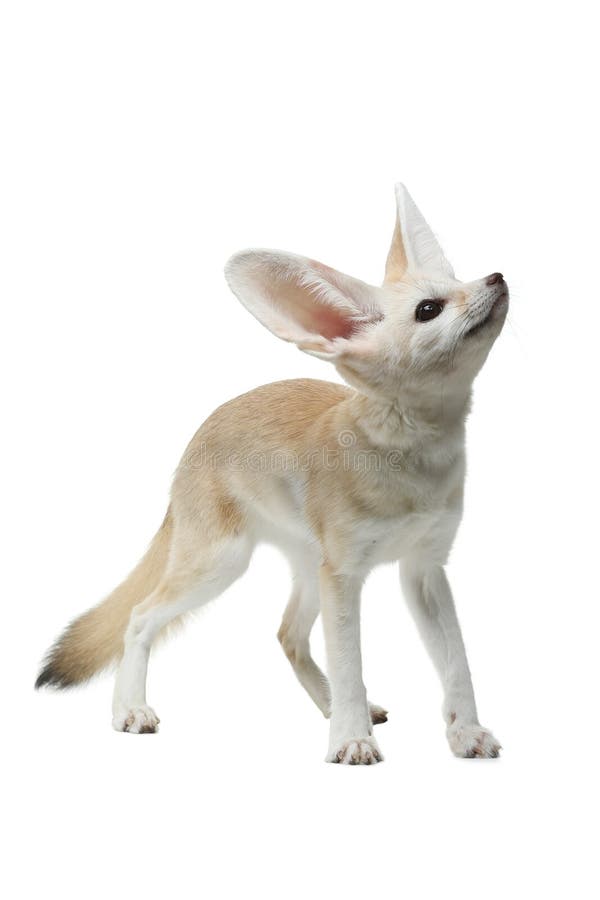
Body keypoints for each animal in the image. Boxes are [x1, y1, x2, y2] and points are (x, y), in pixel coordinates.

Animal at [36, 184, 508, 764]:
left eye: (459, 280)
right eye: (429, 309)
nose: (496, 277)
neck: (412, 464)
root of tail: (197, 436)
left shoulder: (425, 569)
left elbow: (457, 662)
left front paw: (465, 731)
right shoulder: (344, 574)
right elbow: (350, 663)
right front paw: (351, 739)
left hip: (305, 566)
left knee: (287, 635)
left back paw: (330, 705)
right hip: (223, 563)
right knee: (140, 617)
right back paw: (130, 709)